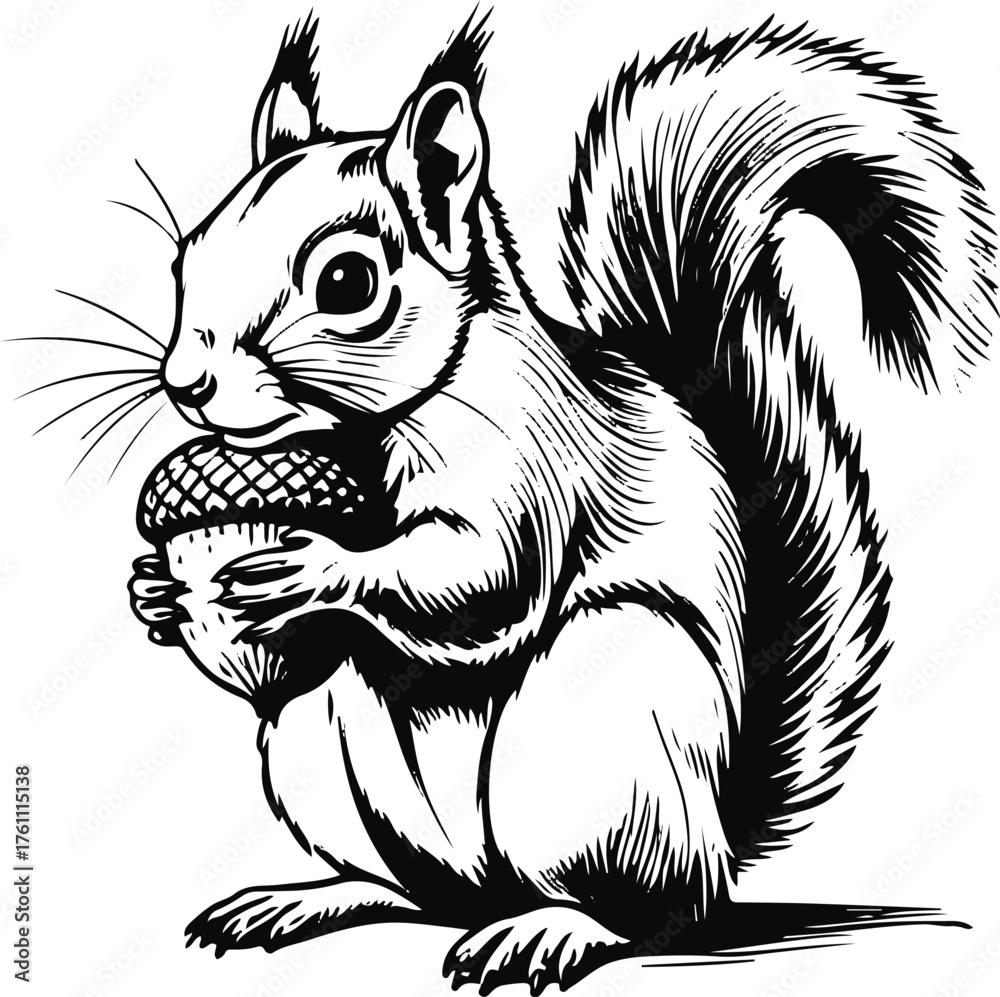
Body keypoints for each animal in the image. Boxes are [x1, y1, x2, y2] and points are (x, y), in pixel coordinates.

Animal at [126, 10, 996, 994]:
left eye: (348, 282)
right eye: (184, 259)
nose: (188, 384)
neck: (367, 433)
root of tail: (719, 842)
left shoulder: (532, 461)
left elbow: (484, 577)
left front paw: (318, 565)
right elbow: (273, 669)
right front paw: (158, 592)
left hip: (612, 722)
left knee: (644, 911)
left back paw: (552, 929)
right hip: (316, 753)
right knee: (405, 884)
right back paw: (311, 897)